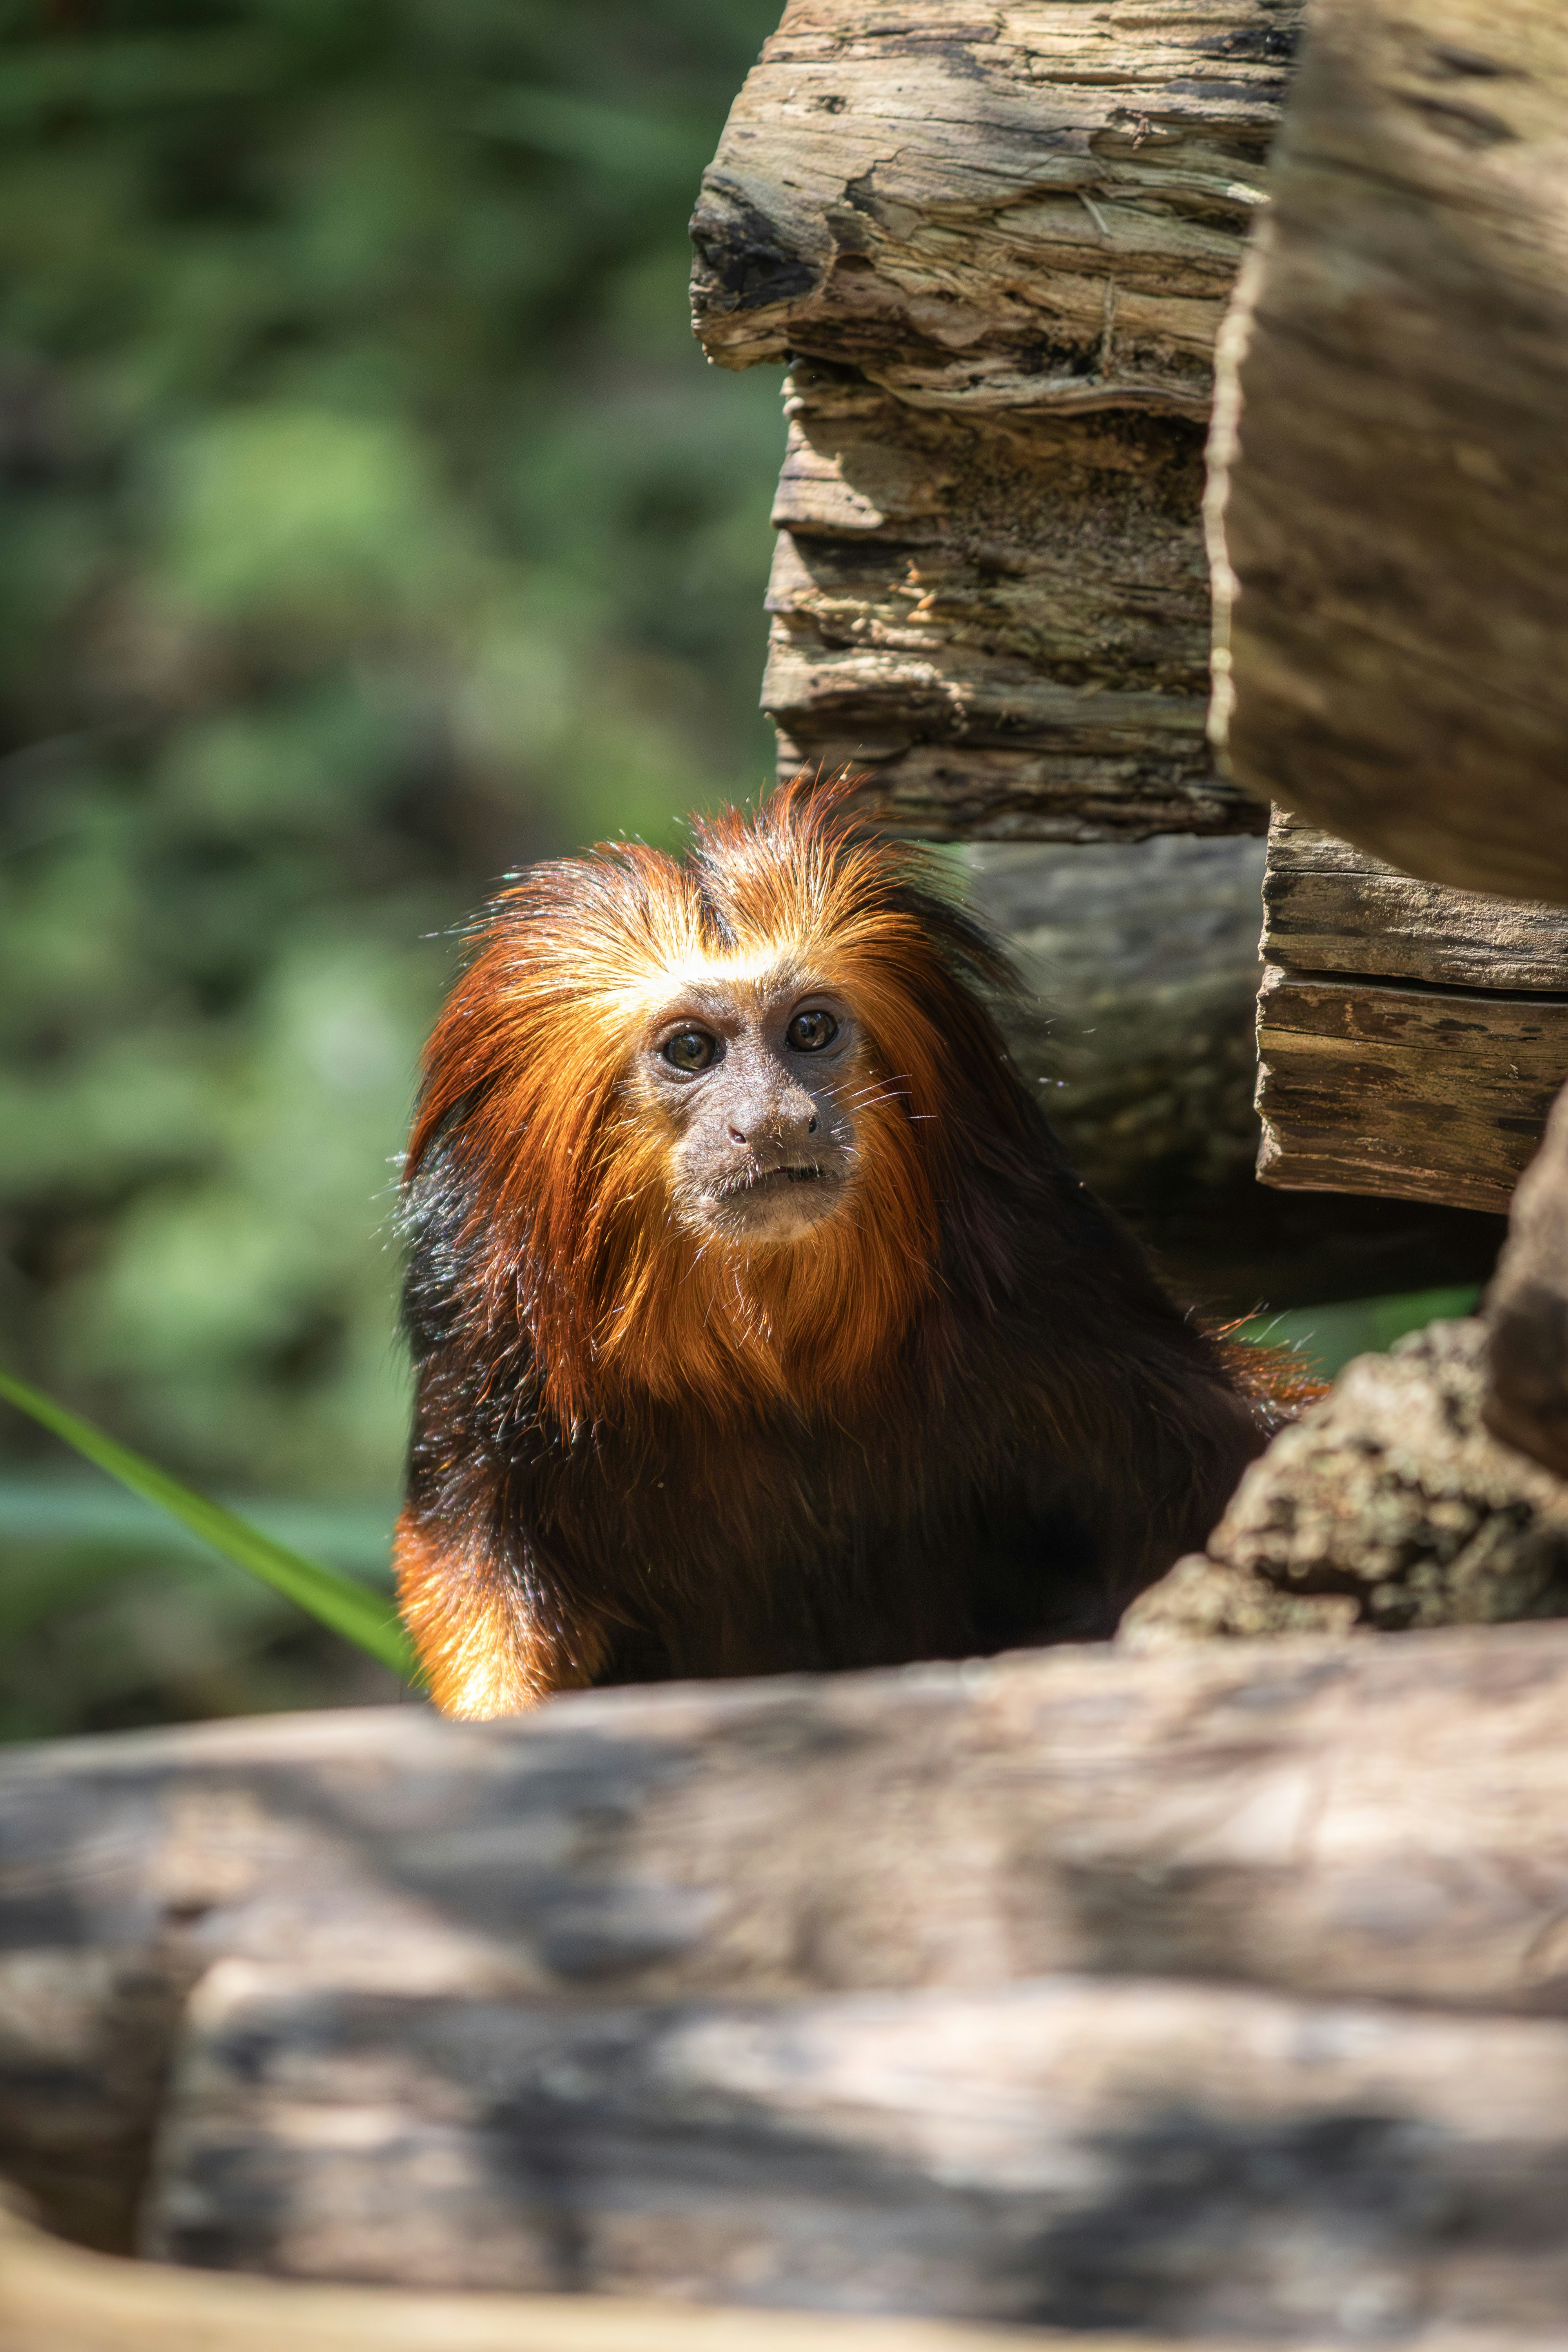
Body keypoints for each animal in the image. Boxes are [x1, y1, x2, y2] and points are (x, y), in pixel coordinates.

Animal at [394, 773, 1278, 1718]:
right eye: (691, 1049)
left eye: (810, 1032)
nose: (777, 1121)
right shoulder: (489, 1345)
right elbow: (473, 1560)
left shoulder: (1051, 1276)